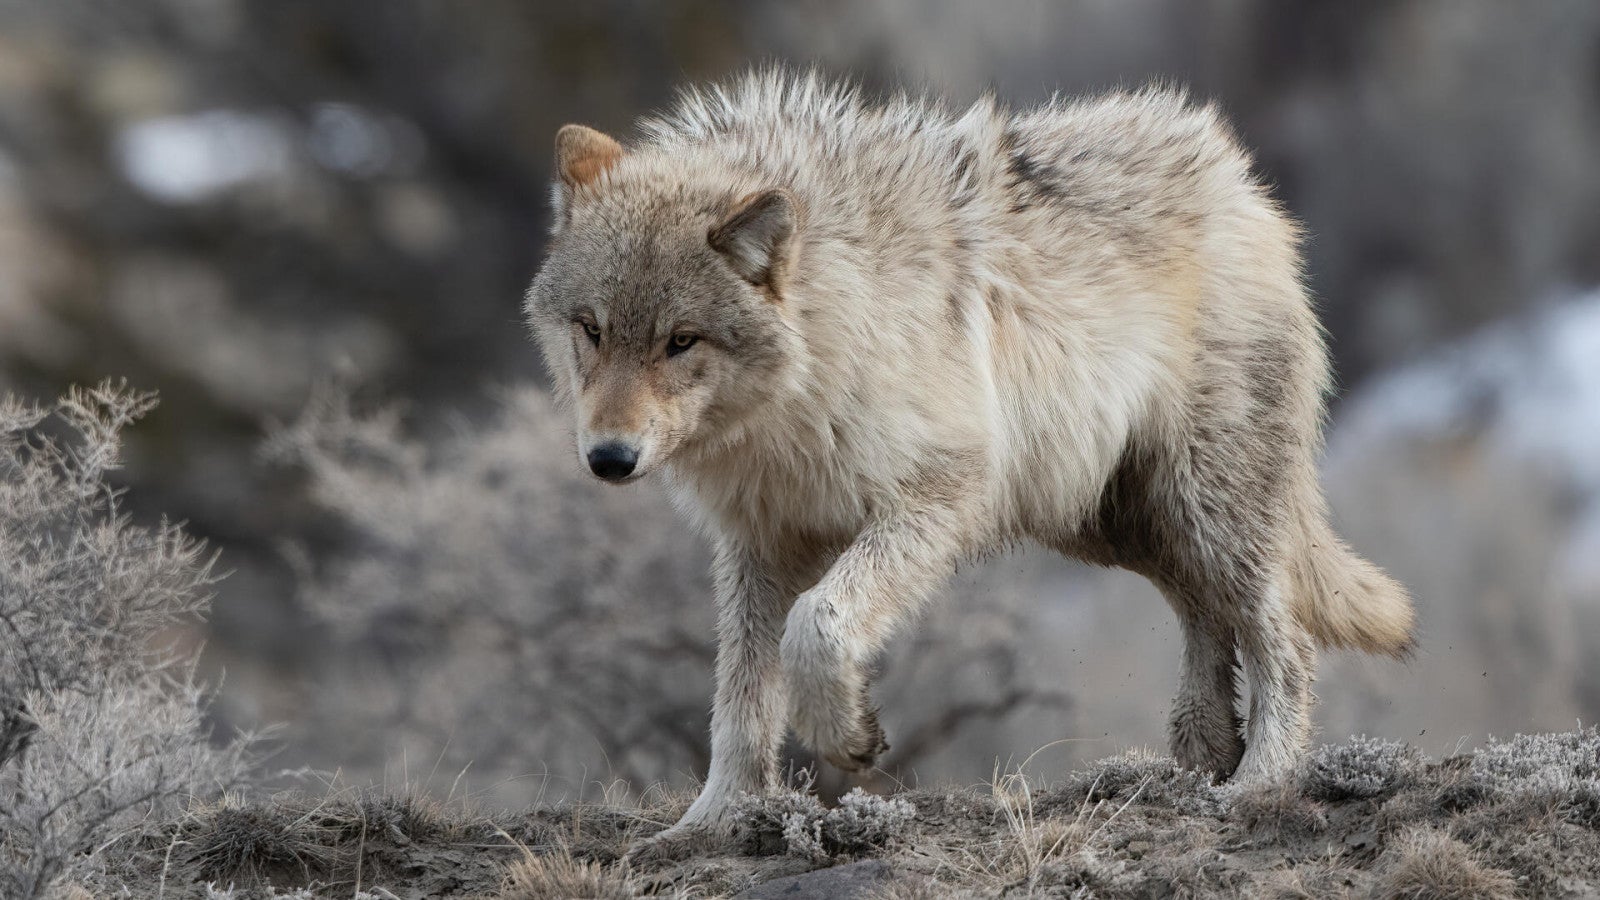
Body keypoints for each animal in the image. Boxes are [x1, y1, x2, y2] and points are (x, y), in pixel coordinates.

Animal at [524, 69, 1414, 840]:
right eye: (592, 329)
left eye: (681, 341)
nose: (609, 457)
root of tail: (1243, 183)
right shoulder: (759, 544)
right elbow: (738, 700)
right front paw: (711, 822)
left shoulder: (937, 497)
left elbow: (819, 627)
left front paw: (848, 736)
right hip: (1115, 520)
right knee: (1203, 609)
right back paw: (1203, 756)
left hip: (1204, 506)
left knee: (1284, 636)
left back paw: (1259, 782)